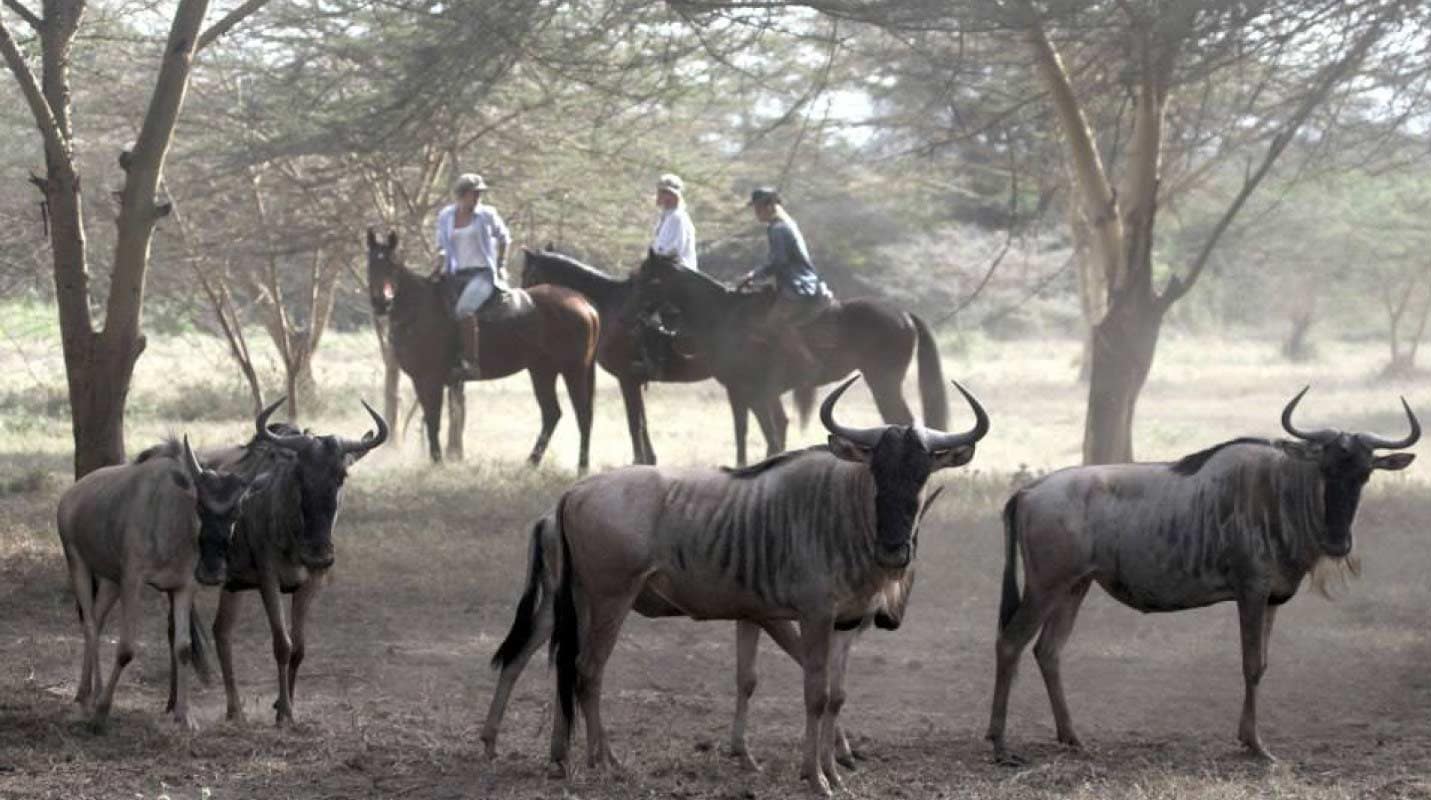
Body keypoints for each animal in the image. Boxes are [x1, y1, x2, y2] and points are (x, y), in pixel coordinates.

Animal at [365, 229, 600, 472]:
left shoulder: (430, 380)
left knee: (582, 414)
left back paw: (582, 467)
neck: (420, 309)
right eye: (371, 264)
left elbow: (433, 420)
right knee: (552, 413)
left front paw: (438, 463)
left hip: (574, 370)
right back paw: (531, 463)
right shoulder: (423, 381)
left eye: (393, 265)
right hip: (543, 371)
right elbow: (436, 419)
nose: (381, 302)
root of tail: (584, 304)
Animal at [520, 248, 790, 466]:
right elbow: (642, 421)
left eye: (529, 276)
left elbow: (634, 422)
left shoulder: (627, 379)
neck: (610, 308)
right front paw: (649, 460)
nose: (523, 305)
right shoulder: (634, 381)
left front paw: (639, 461)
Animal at [635, 250, 950, 462]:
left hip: (884, 382)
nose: (640, 313)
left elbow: (765, 432)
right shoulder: (744, 392)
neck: (724, 317)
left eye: (649, 278)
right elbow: (753, 431)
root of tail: (904, 314)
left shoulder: (749, 391)